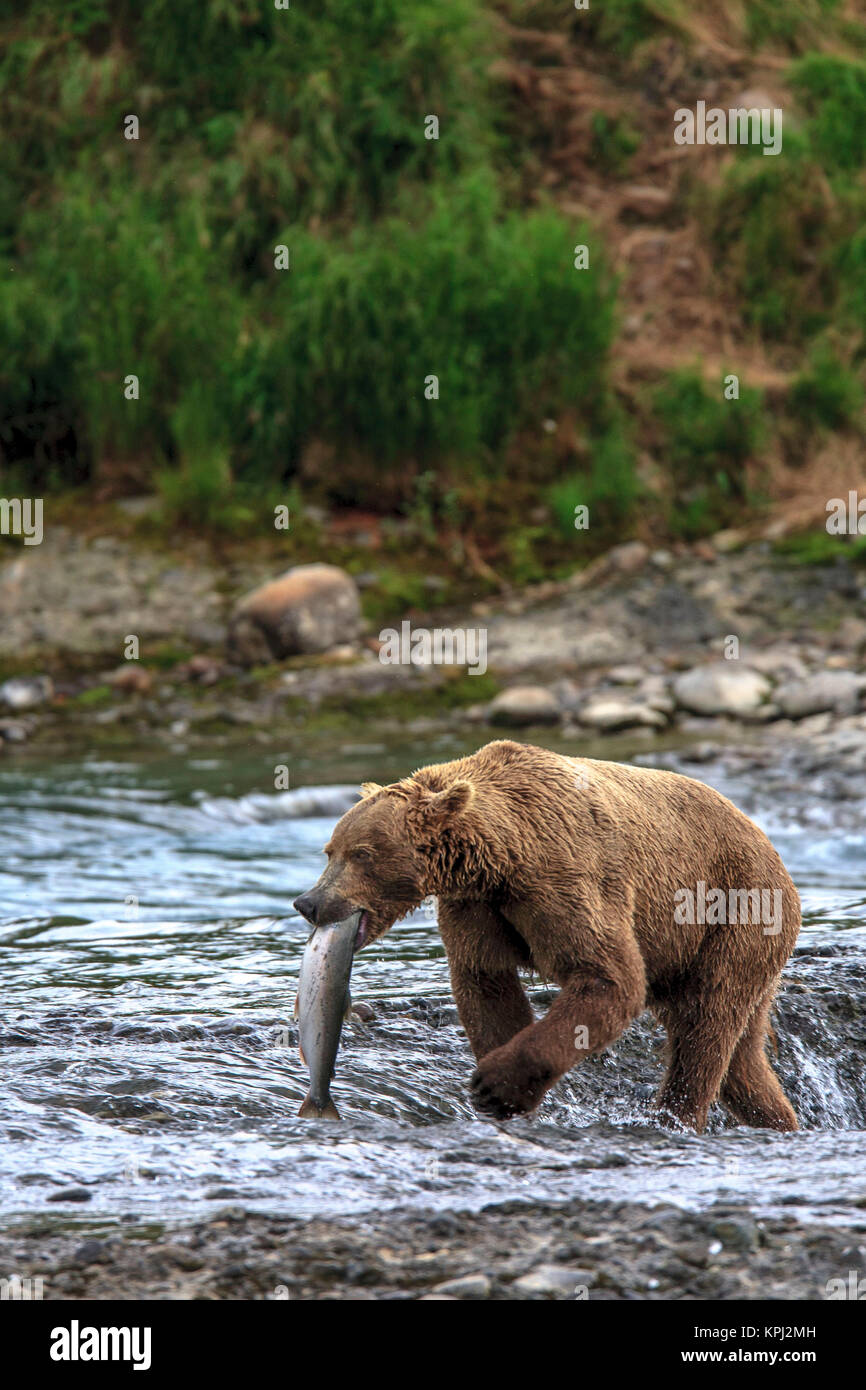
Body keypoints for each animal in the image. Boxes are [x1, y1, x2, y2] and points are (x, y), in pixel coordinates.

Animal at [293, 739, 799, 1132]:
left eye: (362, 853)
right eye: (330, 850)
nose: (309, 902)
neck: (499, 858)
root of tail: (769, 845)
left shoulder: (564, 881)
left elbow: (607, 978)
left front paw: (495, 1085)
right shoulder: (477, 909)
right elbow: (486, 985)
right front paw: (503, 1092)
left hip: (732, 913)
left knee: (706, 1026)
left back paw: (677, 1116)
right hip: (703, 953)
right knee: (740, 1055)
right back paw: (778, 1119)